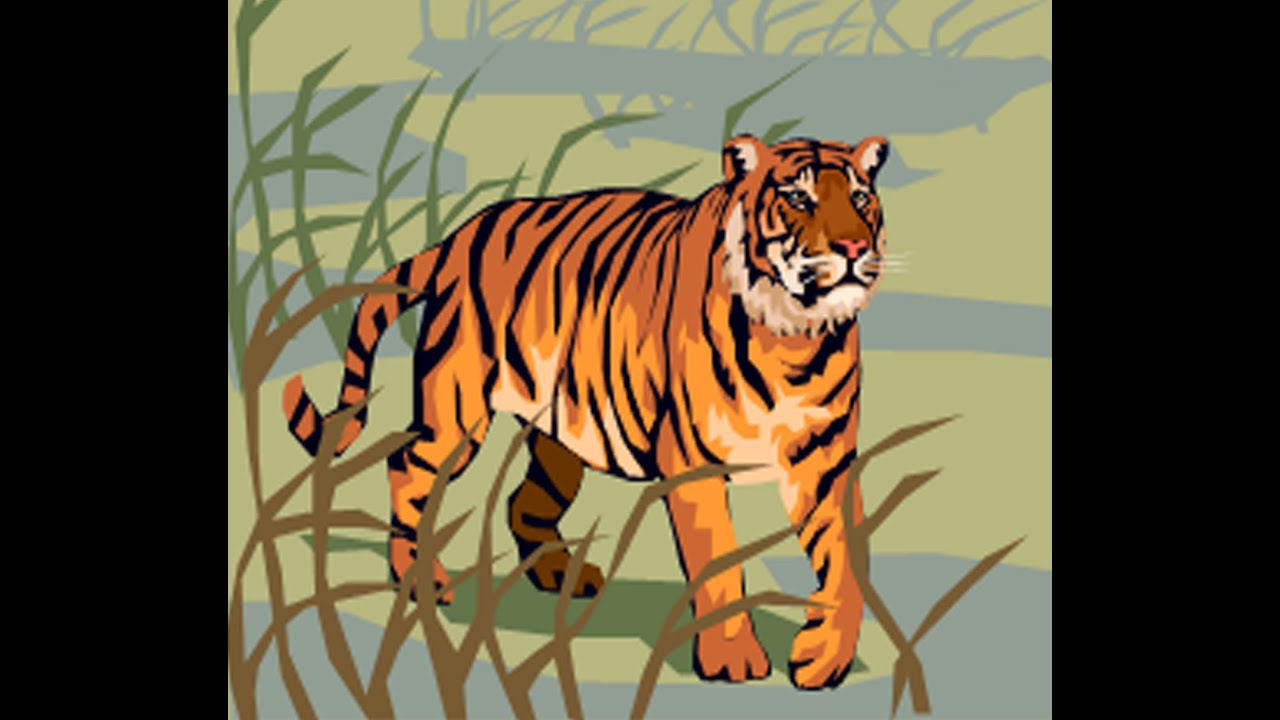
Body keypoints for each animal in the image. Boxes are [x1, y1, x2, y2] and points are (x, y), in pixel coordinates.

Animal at [282, 133, 890, 689]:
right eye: (799, 198)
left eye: (861, 198)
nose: (853, 247)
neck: (793, 337)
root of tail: (457, 236)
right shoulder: (692, 462)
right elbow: (717, 558)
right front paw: (732, 660)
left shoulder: (826, 462)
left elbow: (848, 560)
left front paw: (824, 659)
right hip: (457, 414)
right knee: (408, 468)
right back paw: (419, 578)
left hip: (561, 438)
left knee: (523, 500)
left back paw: (560, 573)